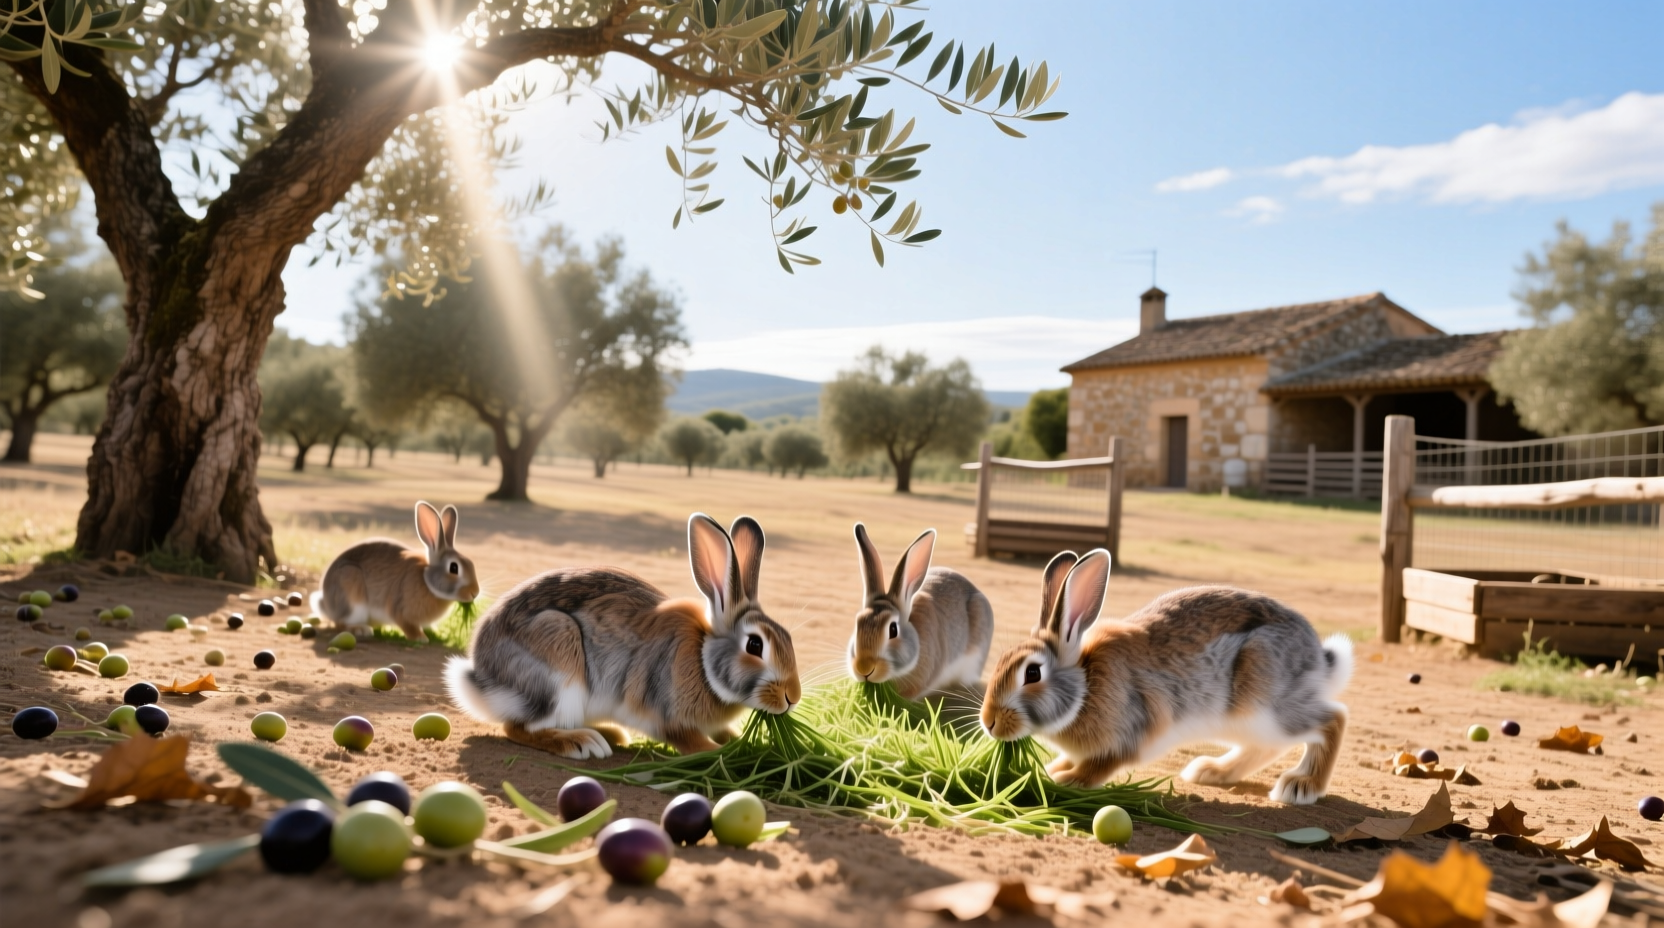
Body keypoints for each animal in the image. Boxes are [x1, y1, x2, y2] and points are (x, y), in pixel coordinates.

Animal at [311, 500, 480, 642]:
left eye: (471, 564)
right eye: (454, 568)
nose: (475, 593)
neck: (426, 580)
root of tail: (326, 602)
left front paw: (435, 633)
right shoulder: (400, 609)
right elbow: (407, 625)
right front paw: (420, 638)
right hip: (351, 592)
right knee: (340, 623)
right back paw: (361, 630)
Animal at [444, 513, 801, 759]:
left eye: (787, 637)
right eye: (755, 644)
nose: (792, 696)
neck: (703, 661)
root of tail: (482, 678)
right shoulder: (668, 718)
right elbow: (695, 744)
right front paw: (732, 755)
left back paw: (608, 735)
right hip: (558, 664)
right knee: (517, 727)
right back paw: (580, 743)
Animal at [980, 549, 1353, 805]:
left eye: (1032, 673)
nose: (989, 722)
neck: (1084, 685)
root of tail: (1318, 658)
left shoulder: (1130, 733)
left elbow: (1099, 767)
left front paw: (1066, 780)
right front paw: (1055, 769)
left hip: (1263, 705)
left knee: (1332, 719)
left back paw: (1300, 787)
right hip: (1247, 721)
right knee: (1266, 745)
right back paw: (1211, 771)